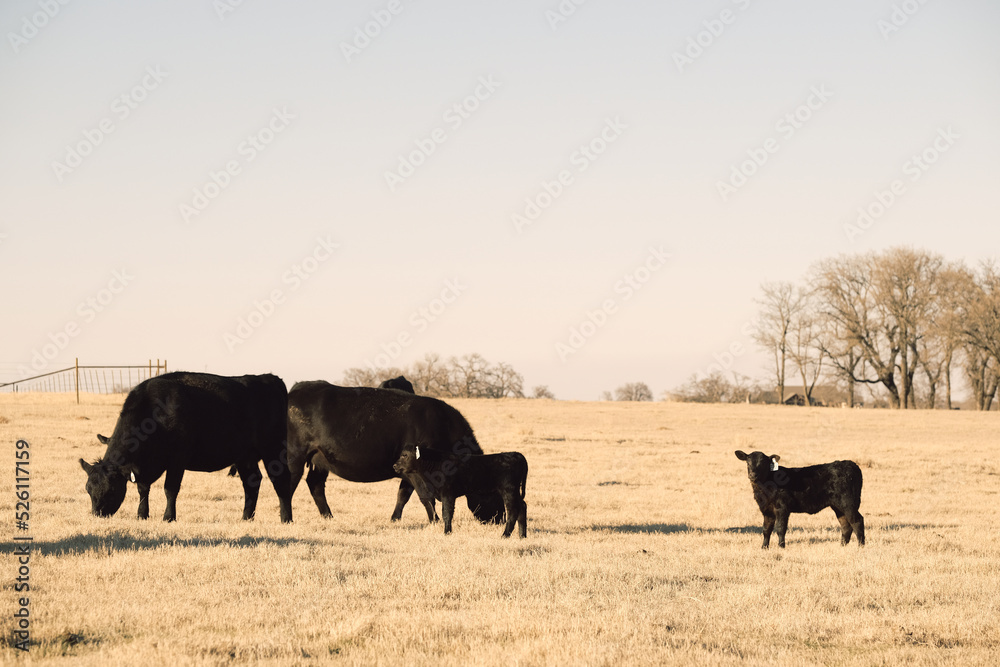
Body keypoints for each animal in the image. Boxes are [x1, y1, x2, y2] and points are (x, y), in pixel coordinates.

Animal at [79, 372, 292, 523]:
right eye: (88, 489)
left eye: (111, 490)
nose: (97, 514)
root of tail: (268, 378)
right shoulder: (144, 467)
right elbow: (143, 489)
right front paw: (142, 515)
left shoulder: (177, 459)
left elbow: (170, 489)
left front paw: (168, 517)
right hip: (245, 456)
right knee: (251, 482)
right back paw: (246, 517)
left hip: (273, 448)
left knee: (281, 480)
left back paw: (286, 519)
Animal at [286, 380, 505, 524]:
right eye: (492, 492)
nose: (500, 518)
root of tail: (297, 389)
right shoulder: (415, 472)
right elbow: (425, 495)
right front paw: (435, 521)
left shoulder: (407, 470)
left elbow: (403, 495)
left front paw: (395, 519)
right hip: (294, 456)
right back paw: (287, 519)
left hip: (320, 459)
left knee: (315, 485)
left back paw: (328, 517)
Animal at [393, 444, 528, 538]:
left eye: (405, 455)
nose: (395, 466)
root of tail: (516, 455)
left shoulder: (448, 494)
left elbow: (447, 513)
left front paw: (447, 532)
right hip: (515, 492)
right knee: (522, 506)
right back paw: (522, 535)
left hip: (509, 490)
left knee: (513, 511)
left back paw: (505, 535)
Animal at [734, 450, 865, 549]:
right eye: (748, 463)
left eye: (762, 464)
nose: (752, 475)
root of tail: (850, 464)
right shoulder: (767, 510)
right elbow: (766, 530)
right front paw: (764, 547)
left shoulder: (782, 508)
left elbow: (780, 528)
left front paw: (781, 547)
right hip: (838, 506)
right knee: (845, 524)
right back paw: (842, 546)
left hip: (848, 503)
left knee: (857, 521)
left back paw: (860, 546)